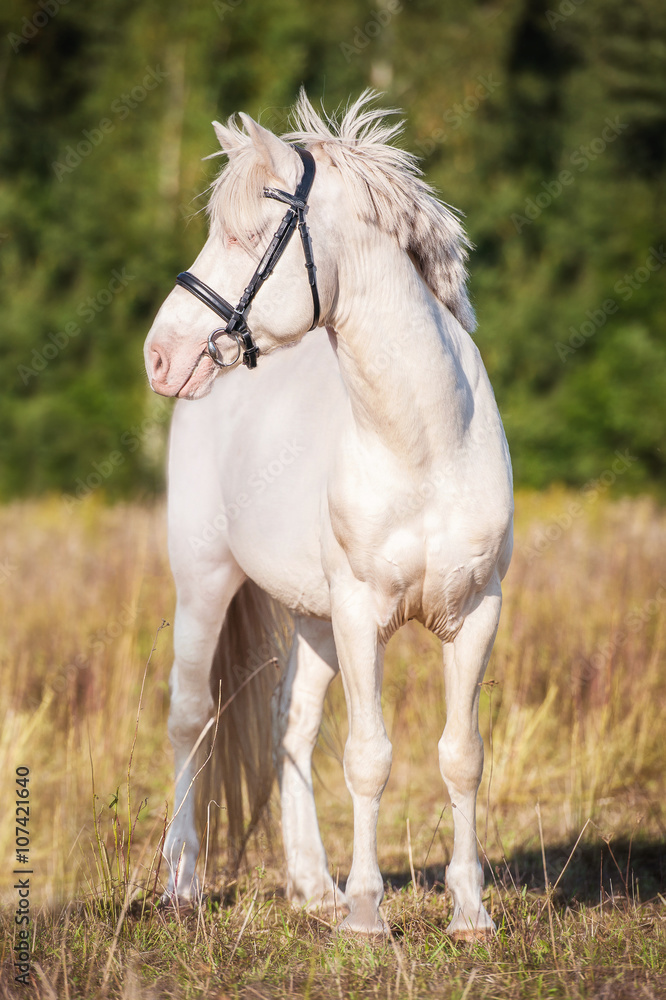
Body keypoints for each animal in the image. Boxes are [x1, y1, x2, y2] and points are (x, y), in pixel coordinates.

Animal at [143, 91, 513, 938]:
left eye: (248, 237)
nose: (161, 357)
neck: (426, 444)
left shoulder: (477, 612)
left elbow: (462, 754)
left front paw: (469, 912)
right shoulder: (361, 614)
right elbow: (371, 757)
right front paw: (369, 915)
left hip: (310, 619)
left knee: (292, 727)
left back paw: (314, 886)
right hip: (206, 582)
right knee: (190, 716)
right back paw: (185, 884)